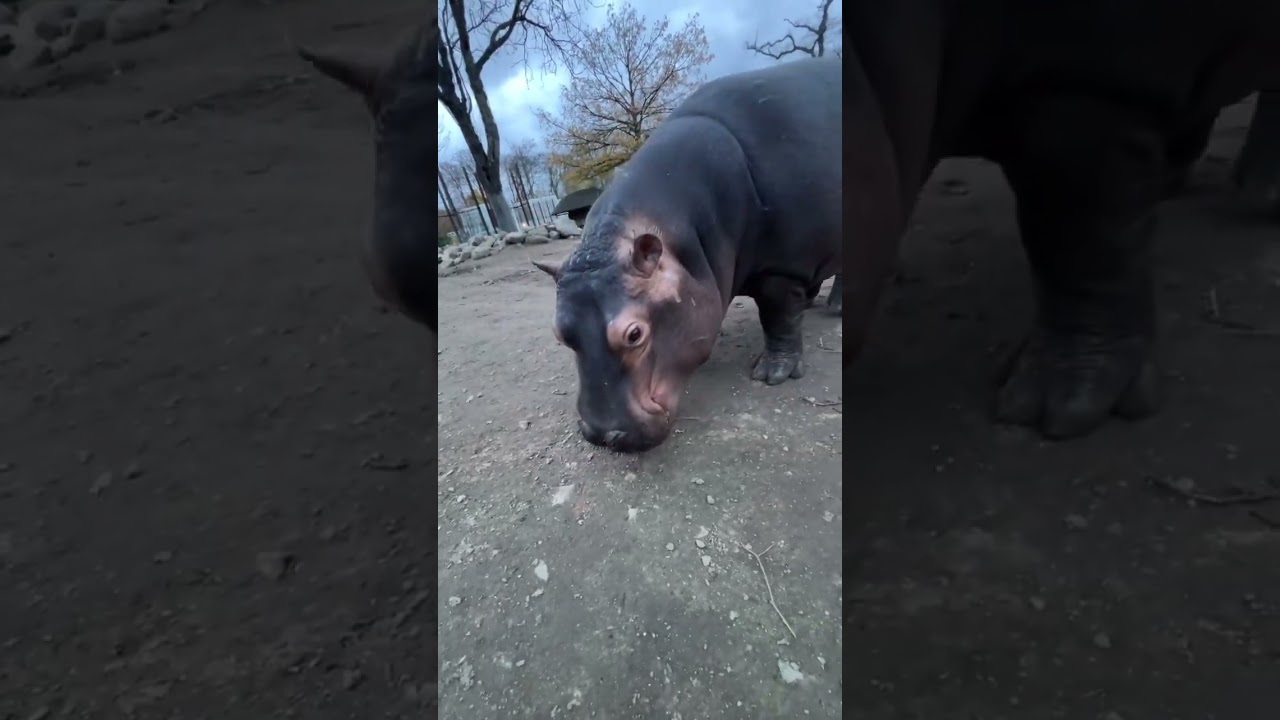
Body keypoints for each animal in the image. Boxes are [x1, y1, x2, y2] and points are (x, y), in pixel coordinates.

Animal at [534, 56, 841, 452]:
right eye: (560, 333)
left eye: (634, 334)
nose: (603, 434)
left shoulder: (780, 267)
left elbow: (778, 316)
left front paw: (772, 375)